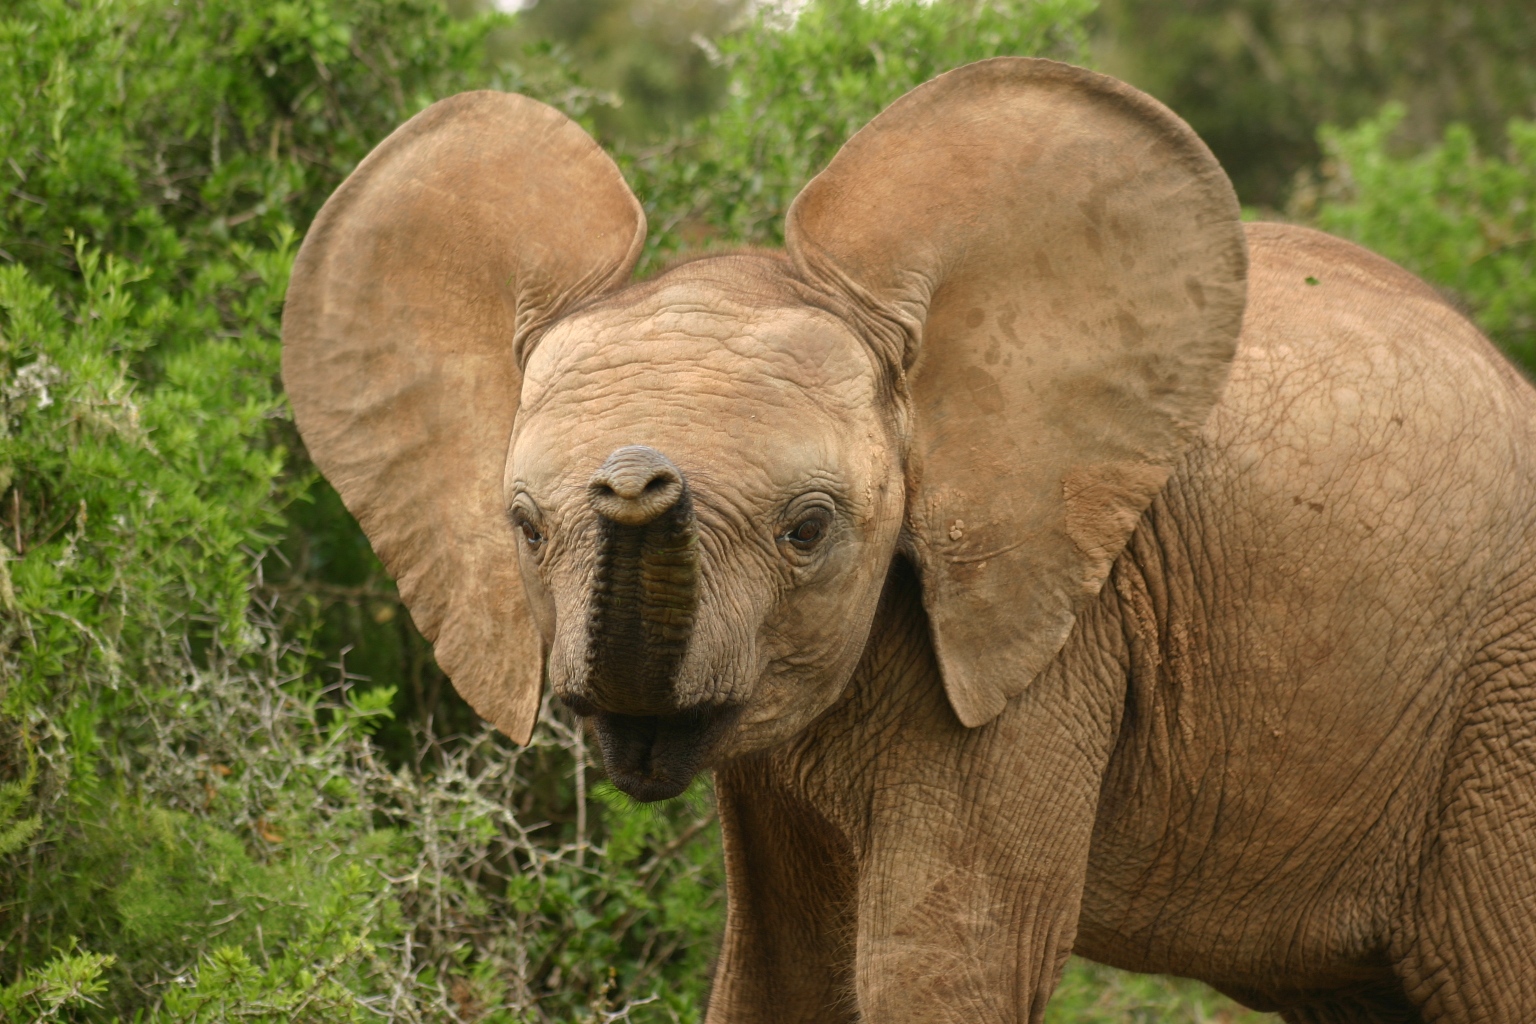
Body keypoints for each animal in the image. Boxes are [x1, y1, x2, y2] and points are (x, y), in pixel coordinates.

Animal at [280, 57, 1536, 1022]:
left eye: (808, 528)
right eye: (526, 527)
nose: (637, 477)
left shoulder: (1048, 632)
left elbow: (942, 968)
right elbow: (779, 976)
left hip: (1503, 712)